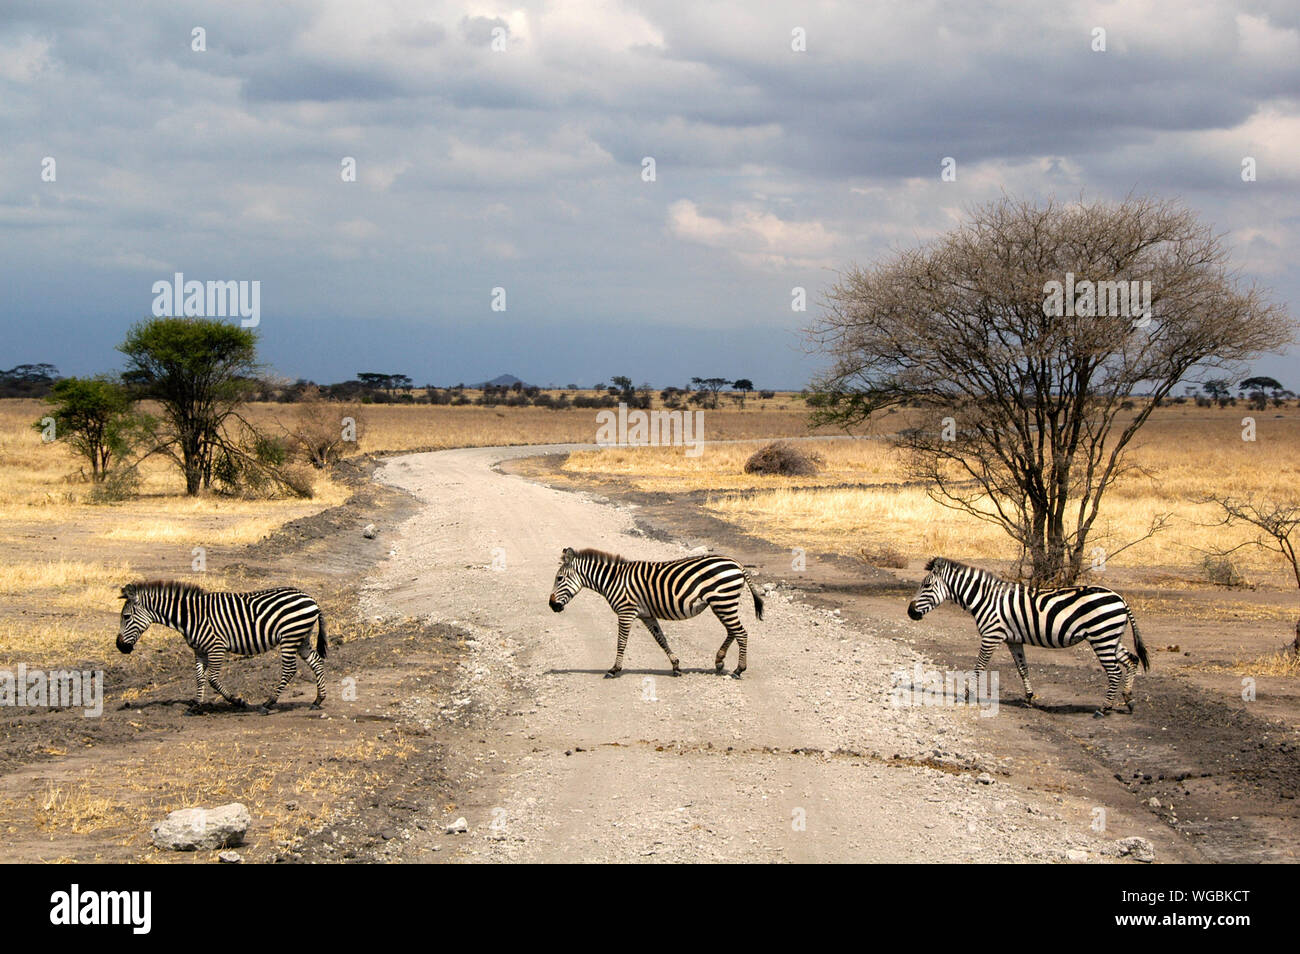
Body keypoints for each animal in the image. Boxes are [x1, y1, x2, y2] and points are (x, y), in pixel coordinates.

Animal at [116, 580, 328, 713]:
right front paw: (196, 706)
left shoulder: (216, 648)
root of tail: (311, 599)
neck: (191, 617)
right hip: (301, 637)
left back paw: (268, 704)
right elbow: (199, 678)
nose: (120, 647)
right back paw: (317, 700)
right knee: (316, 662)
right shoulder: (199, 650)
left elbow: (212, 680)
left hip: (290, 636)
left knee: (289, 669)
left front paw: (238, 701)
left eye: (126, 617)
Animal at [548, 547, 765, 678]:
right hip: (721, 603)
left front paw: (614, 669)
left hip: (723, 601)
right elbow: (661, 639)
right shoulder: (646, 615)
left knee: (741, 633)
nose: (551, 605)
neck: (613, 580)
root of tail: (737, 563)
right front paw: (676, 666)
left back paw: (738, 670)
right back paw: (719, 661)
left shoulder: (626, 612)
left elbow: (621, 642)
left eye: (559, 578)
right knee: (732, 631)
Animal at [906, 557, 1149, 716]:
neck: (984, 599)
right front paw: (1029, 697)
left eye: (926, 585)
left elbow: (979, 666)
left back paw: (1104, 708)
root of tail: (1120, 597)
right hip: (1110, 637)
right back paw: (1129, 700)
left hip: (1102, 637)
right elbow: (1023, 668)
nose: (910, 612)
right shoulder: (1013, 639)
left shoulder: (991, 635)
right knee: (1132, 660)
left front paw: (966, 693)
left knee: (1115, 671)